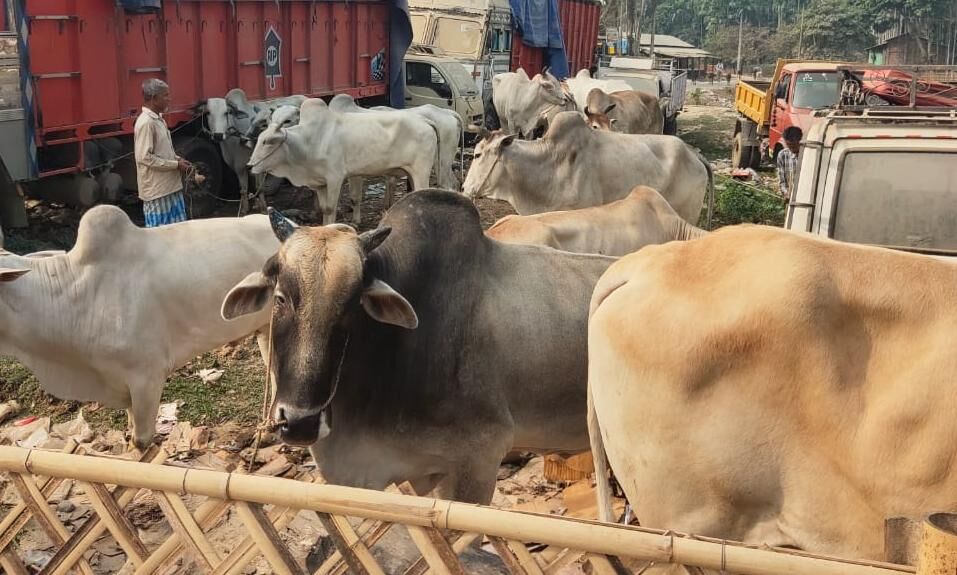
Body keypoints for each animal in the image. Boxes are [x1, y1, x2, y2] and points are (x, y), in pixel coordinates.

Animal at [248, 98, 438, 225]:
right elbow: (324, 208)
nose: (250, 165)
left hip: (421, 172)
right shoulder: (320, 183)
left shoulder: (335, 178)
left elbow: (331, 208)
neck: (309, 141)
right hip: (411, 172)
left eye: (267, 141)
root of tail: (424, 121)